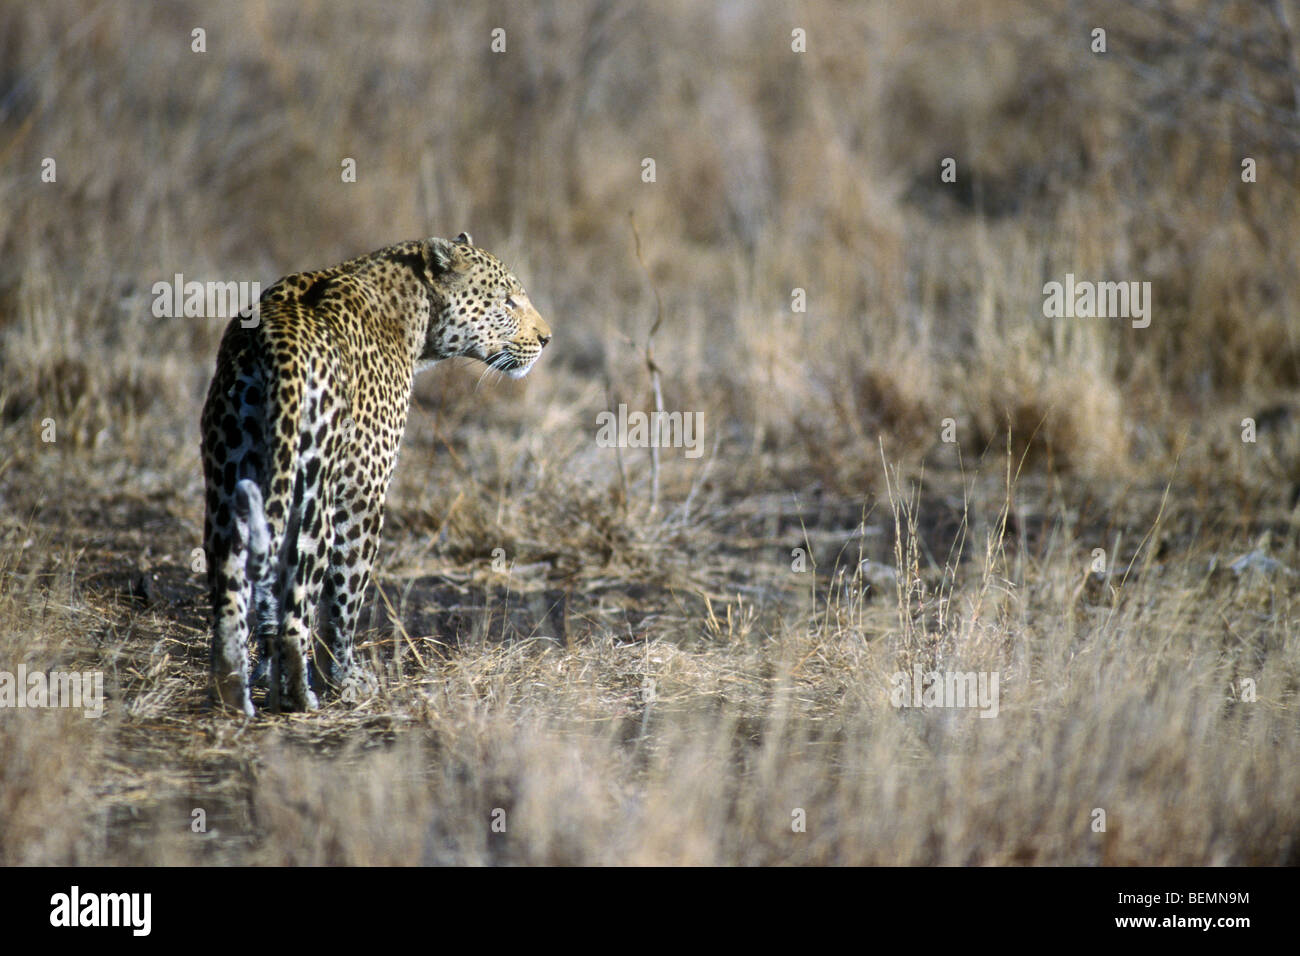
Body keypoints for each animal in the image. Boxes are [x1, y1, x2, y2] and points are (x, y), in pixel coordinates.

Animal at [199, 234, 550, 715]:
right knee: (299, 605)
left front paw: (267, 678)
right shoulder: (363, 489)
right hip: (315, 495)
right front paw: (345, 678)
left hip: (228, 477)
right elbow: (343, 600)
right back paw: (301, 697)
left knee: (231, 593)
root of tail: (273, 337)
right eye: (506, 301)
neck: (416, 315)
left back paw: (233, 693)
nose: (547, 338)